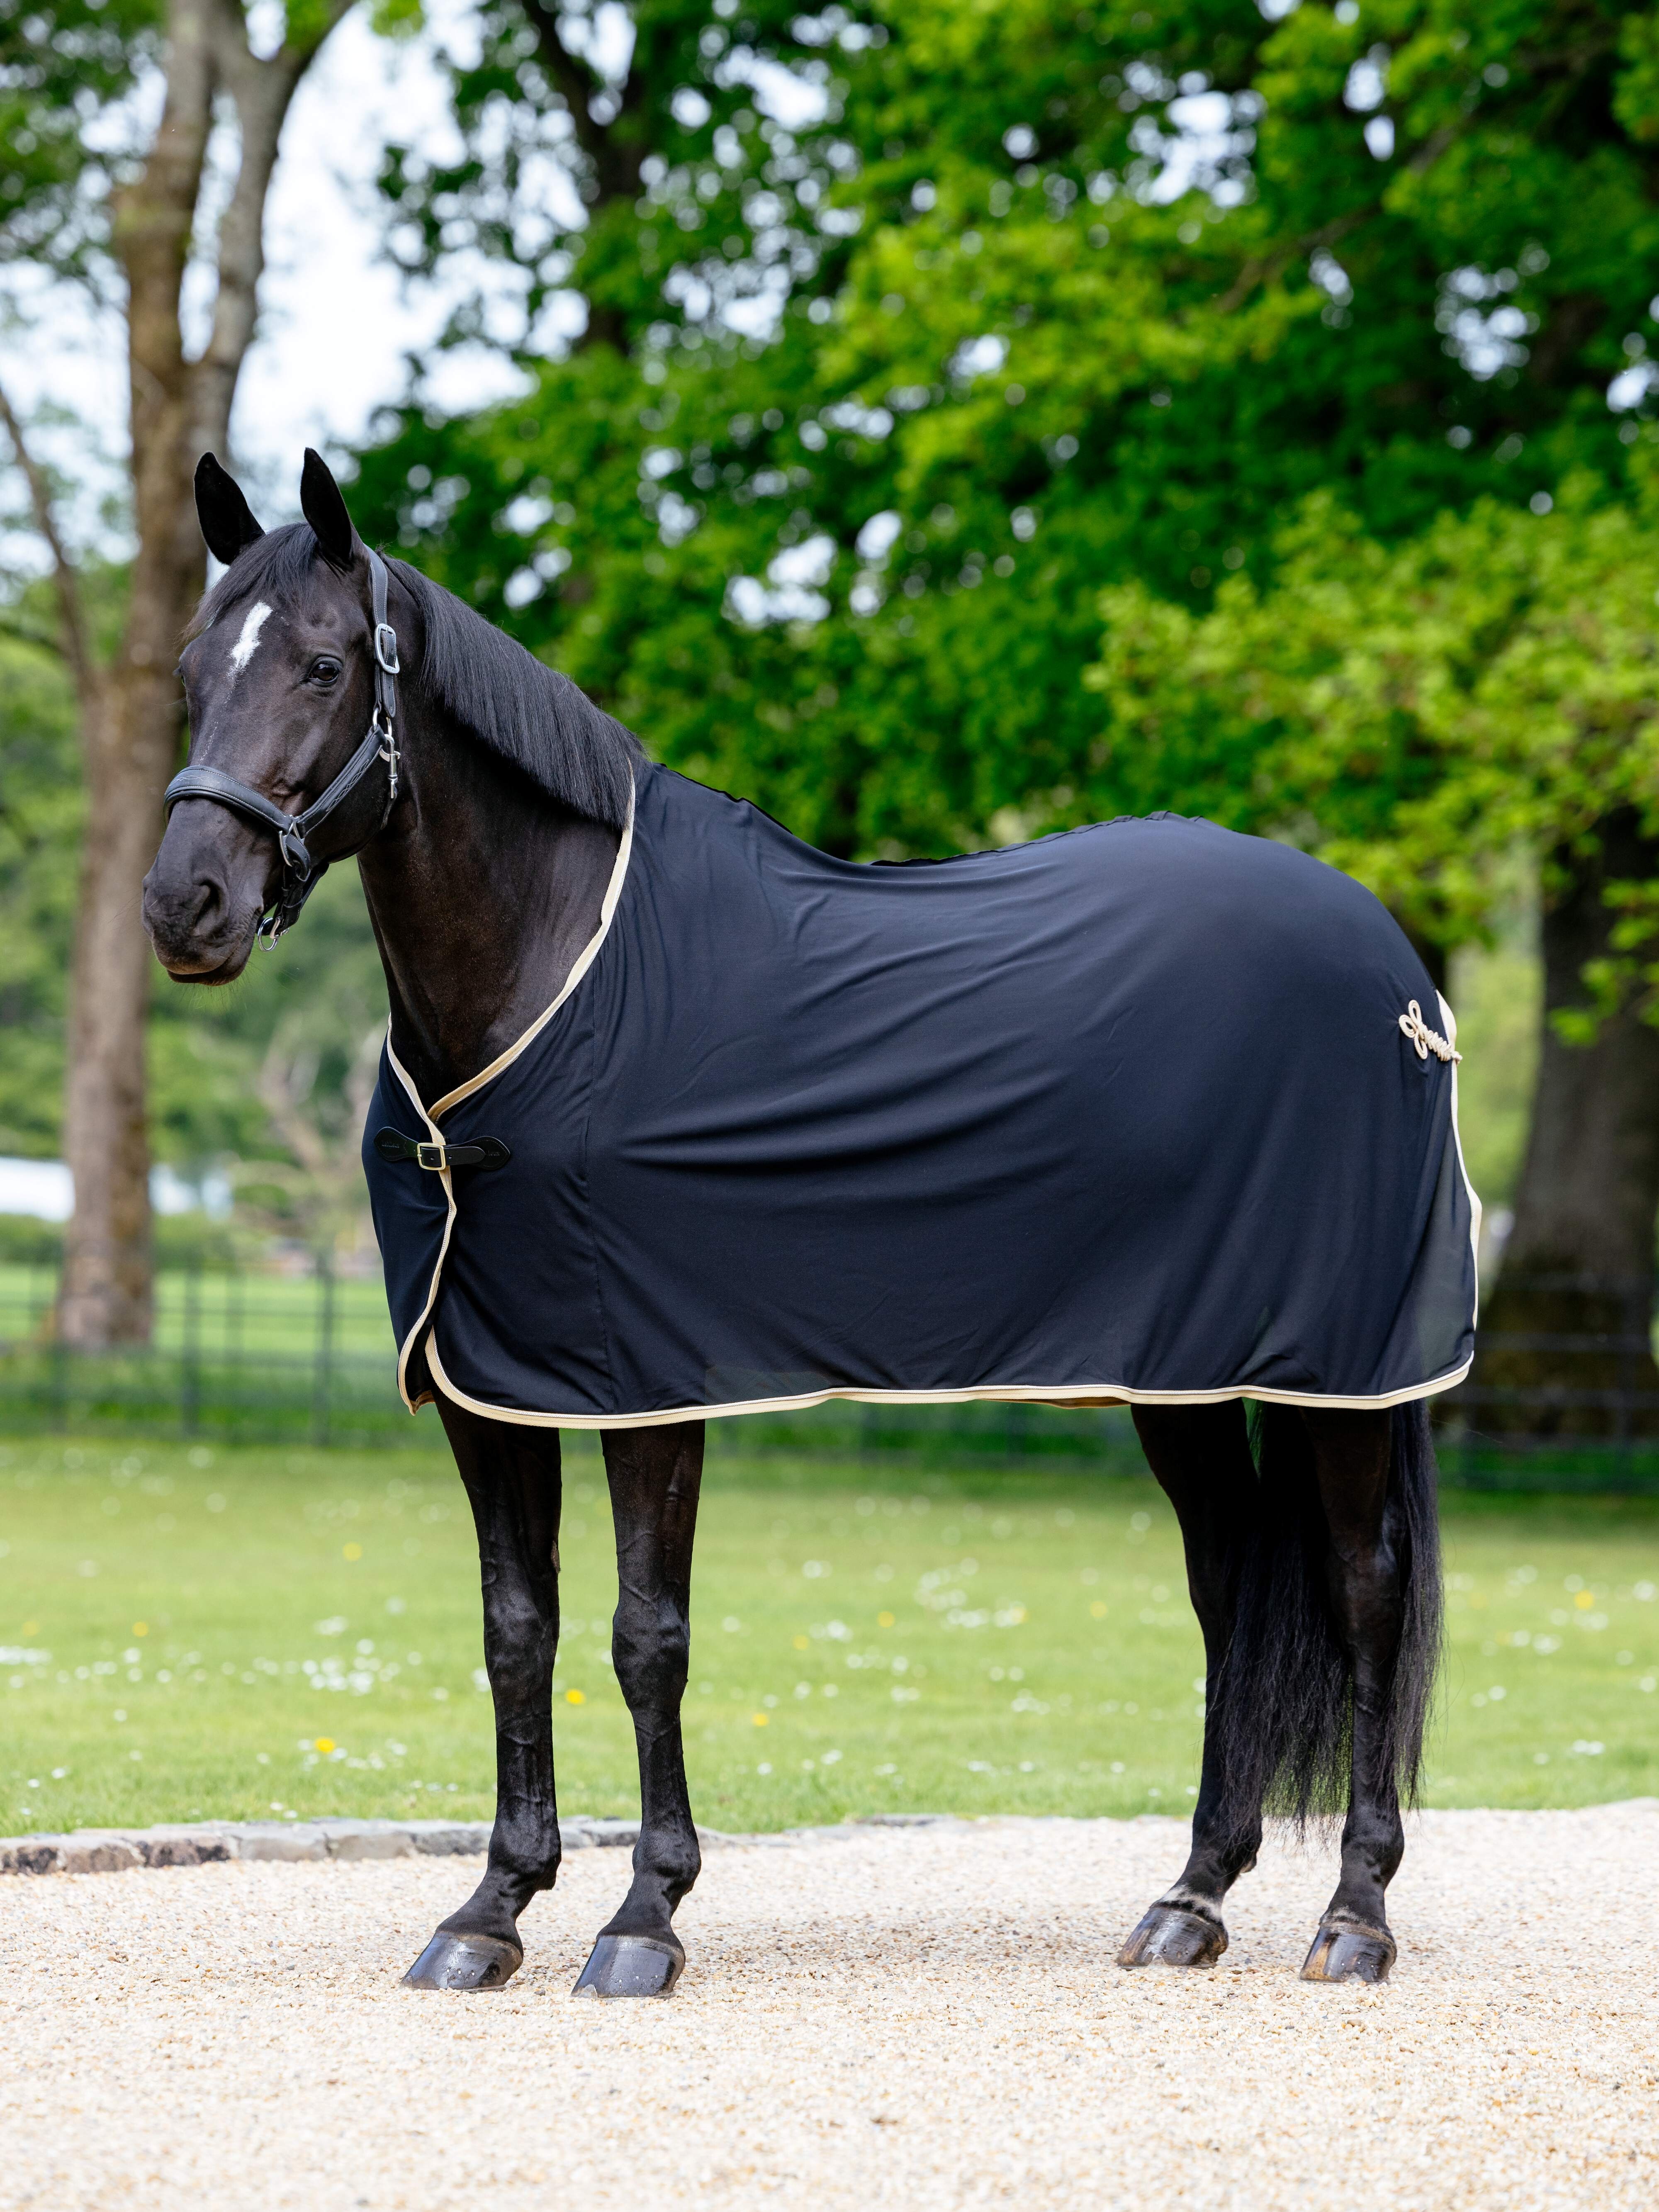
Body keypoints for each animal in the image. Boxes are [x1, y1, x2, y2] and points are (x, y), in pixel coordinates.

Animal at [142, 448, 1476, 1997]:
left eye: (321, 662)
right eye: (192, 669)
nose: (185, 905)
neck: (554, 976)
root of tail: (1400, 979)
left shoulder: (644, 1383)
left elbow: (645, 1635)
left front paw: (642, 1918)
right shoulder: (490, 1389)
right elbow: (515, 1630)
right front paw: (489, 1911)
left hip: (1339, 1375)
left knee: (1364, 1589)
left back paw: (1354, 1916)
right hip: (1189, 1379)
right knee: (1231, 1593)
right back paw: (1189, 1899)